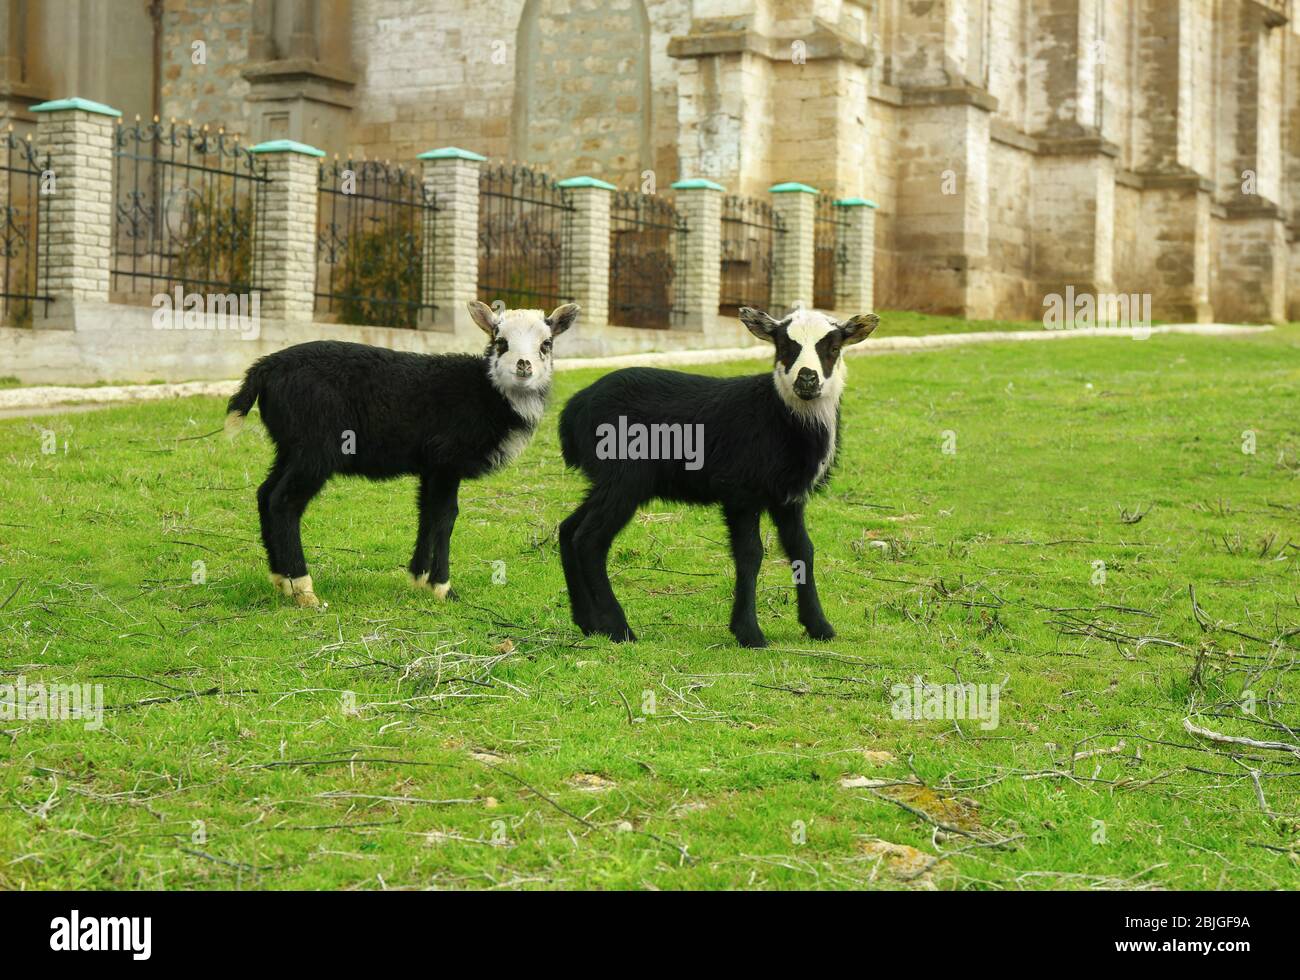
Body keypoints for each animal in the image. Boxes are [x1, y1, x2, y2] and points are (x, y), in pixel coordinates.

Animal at [224, 301, 579, 606]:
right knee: (283, 502)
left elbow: (427, 513)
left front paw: (419, 577)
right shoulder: (447, 460)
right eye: (500, 341)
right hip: (315, 447)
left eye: (547, 344)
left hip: (288, 445)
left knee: (264, 494)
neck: (489, 392)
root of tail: (265, 368)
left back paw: (280, 579)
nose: (524, 365)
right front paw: (443, 587)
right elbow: (446, 517)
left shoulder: (432, 466)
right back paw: (303, 587)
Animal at [557, 306, 878, 647]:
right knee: (589, 540)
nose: (807, 377)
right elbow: (750, 554)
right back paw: (619, 629)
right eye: (783, 346)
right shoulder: (740, 492)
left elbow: (802, 549)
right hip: (625, 479)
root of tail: (574, 410)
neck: (778, 416)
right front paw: (749, 633)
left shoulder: (788, 497)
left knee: (568, 529)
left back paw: (588, 622)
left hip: (608, 480)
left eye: (834, 347)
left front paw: (819, 626)